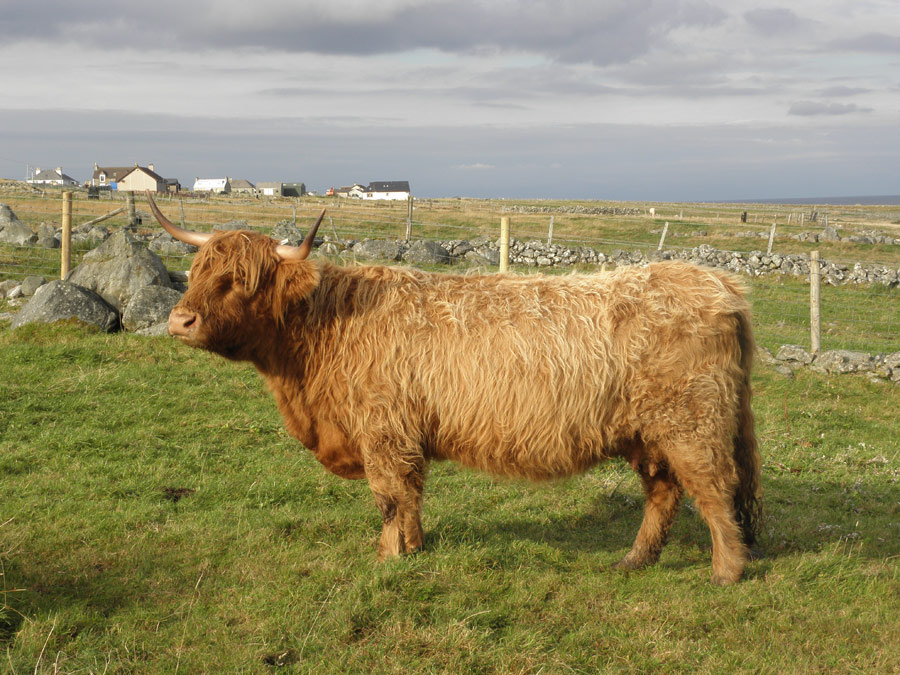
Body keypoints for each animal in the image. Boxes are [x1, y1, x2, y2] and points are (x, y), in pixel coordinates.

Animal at [146, 192, 761, 585]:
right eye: (197, 270)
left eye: (239, 281)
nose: (179, 321)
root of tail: (718, 282)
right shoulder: (403, 436)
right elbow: (411, 497)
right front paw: (413, 548)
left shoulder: (384, 433)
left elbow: (389, 498)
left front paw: (388, 559)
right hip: (648, 433)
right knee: (664, 493)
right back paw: (634, 562)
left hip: (692, 425)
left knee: (714, 490)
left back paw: (726, 572)